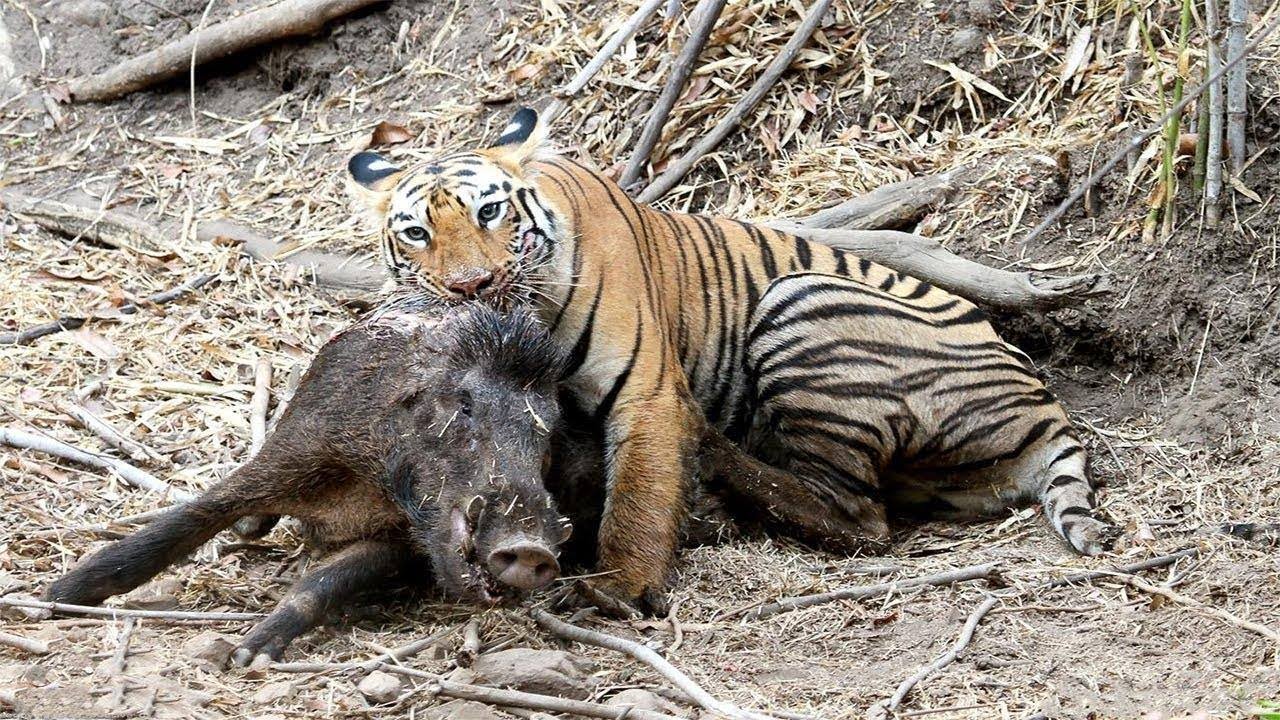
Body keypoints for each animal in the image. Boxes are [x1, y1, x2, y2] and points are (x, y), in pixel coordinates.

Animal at [346, 107, 1114, 610]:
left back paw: (718, 460)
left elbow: (638, 495)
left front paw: (616, 587)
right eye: (416, 233)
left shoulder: (646, 390)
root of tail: (1047, 407)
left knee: (857, 516)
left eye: (490, 213)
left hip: (799, 300)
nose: (469, 286)